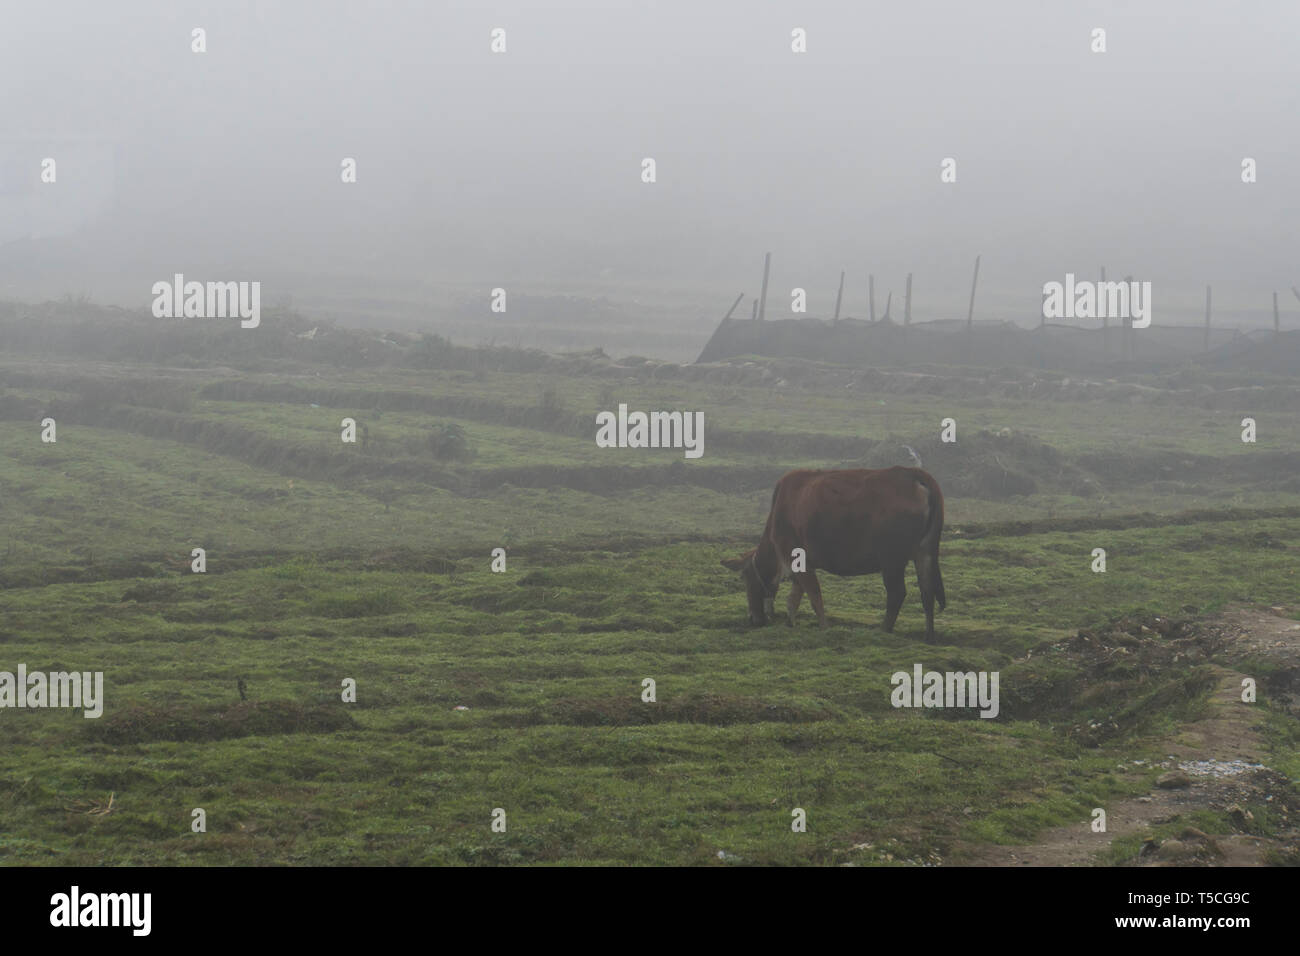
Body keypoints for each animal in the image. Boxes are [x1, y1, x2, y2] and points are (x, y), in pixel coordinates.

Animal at [721, 467, 946, 640]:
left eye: (745, 577)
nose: (753, 618)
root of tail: (913, 474)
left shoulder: (798, 559)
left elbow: (814, 595)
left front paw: (824, 627)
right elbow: (794, 598)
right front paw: (790, 623)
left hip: (892, 559)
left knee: (897, 593)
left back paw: (883, 630)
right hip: (924, 552)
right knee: (927, 592)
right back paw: (929, 636)